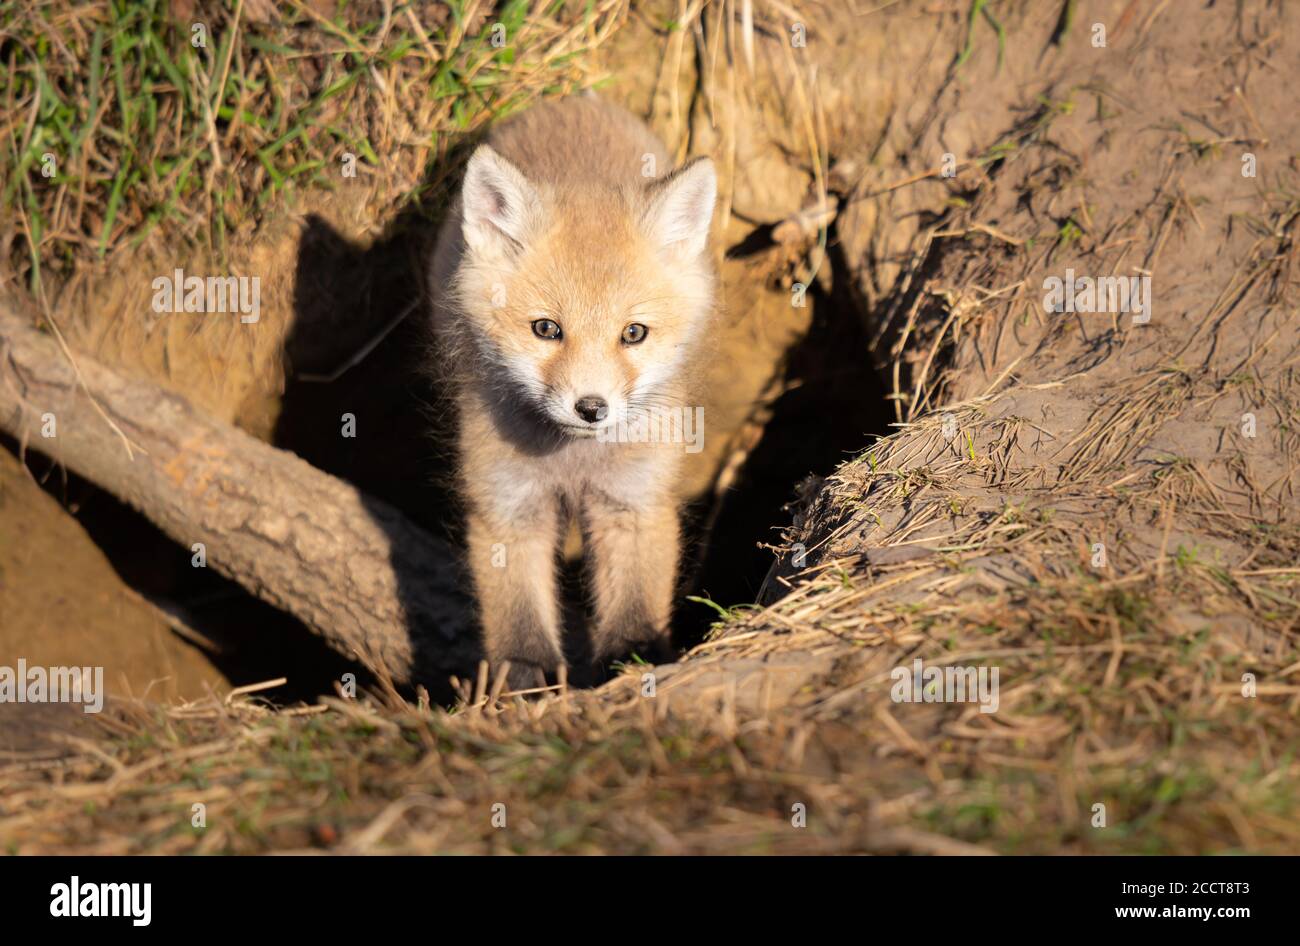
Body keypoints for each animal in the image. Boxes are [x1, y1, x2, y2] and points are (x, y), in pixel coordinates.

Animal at [428, 96, 718, 690]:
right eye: (546, 329)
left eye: (633, 333)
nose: (591, 408)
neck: (572, 461)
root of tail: (575, 100)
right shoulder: (507, 503)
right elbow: (518, 616)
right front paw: (522, 684)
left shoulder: (633, 500)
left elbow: (634, 606)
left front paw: (634, 663)